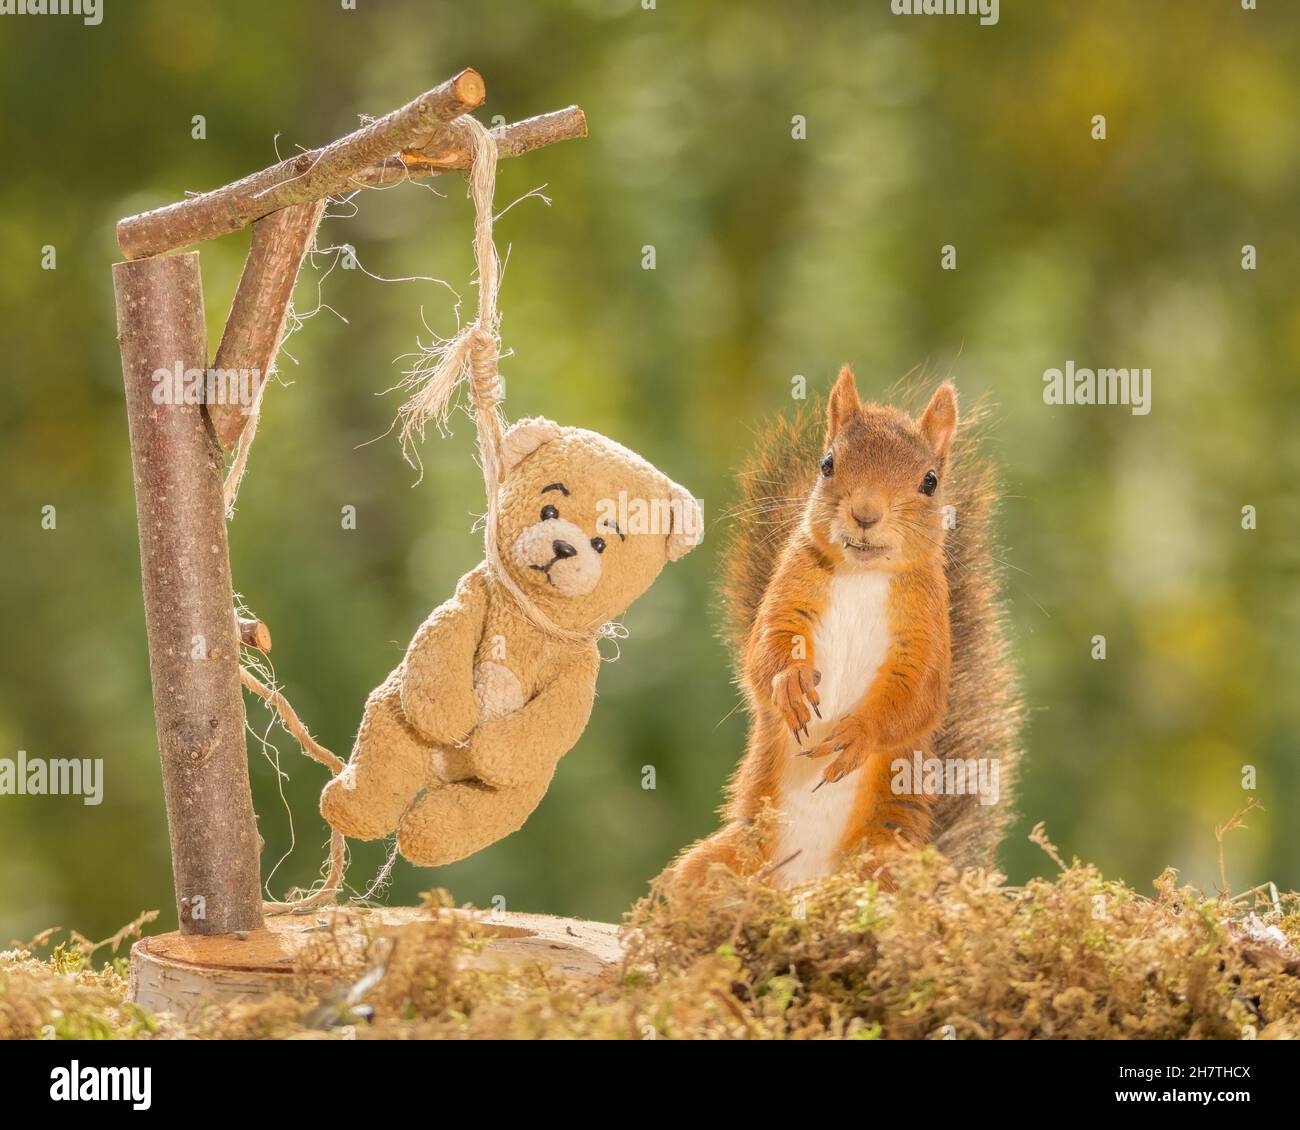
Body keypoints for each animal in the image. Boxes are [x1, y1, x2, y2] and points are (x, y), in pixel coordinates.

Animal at [320, 416, 703, 867]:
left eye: (601, 543)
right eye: (549, 510)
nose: (563, 547)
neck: (529, 617)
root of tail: (440, 772)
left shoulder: (577, 664)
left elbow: (562, 711)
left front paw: (491, 747)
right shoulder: (477, 594)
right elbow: (445, 634)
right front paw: (450, 716)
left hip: (521, 791)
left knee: (479, 809)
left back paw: (430, 830)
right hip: (393, 715)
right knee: (386, 757)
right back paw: (355, 805)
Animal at [669, 365, 1021, 889]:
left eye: (930, 482)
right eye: (827, 463)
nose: (865, 514)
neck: (861, 576)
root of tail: (803, 881)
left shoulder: (928, 625)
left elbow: (920, 694)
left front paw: (858, 733)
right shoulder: (791, 590)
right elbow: (764, 652)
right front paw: (790, 684)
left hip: (884, 857)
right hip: (736, 854)